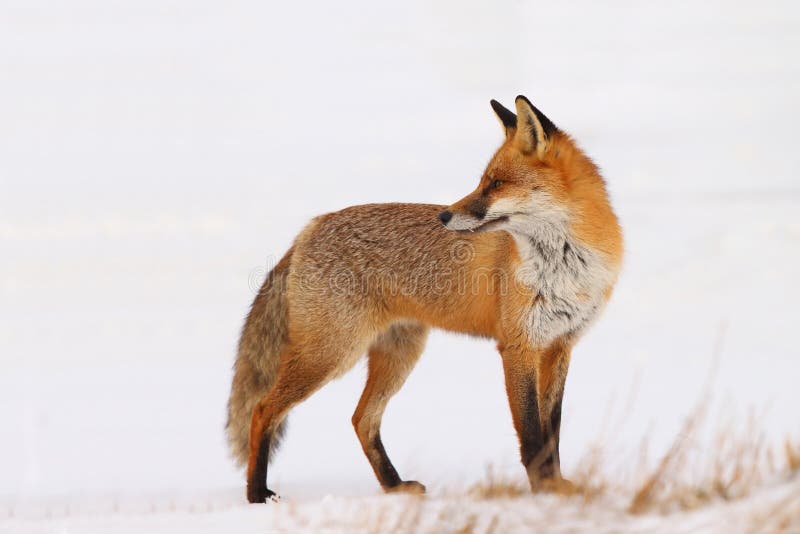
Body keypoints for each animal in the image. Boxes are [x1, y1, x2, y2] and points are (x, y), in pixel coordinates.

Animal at [226, 95, 623, 503]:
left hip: (398, 355)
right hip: (331, 354)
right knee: (262, 410)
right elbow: (531, 432)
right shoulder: (518, 347)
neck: (565, 266)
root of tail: (310, 226)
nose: (444, 216)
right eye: (483, 181)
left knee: (361, 419)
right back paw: (257, 494)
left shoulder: (560, 345)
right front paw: (543, 491)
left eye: (496, 183)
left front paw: (555, 485)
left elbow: (552, 429)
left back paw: (394, 485)